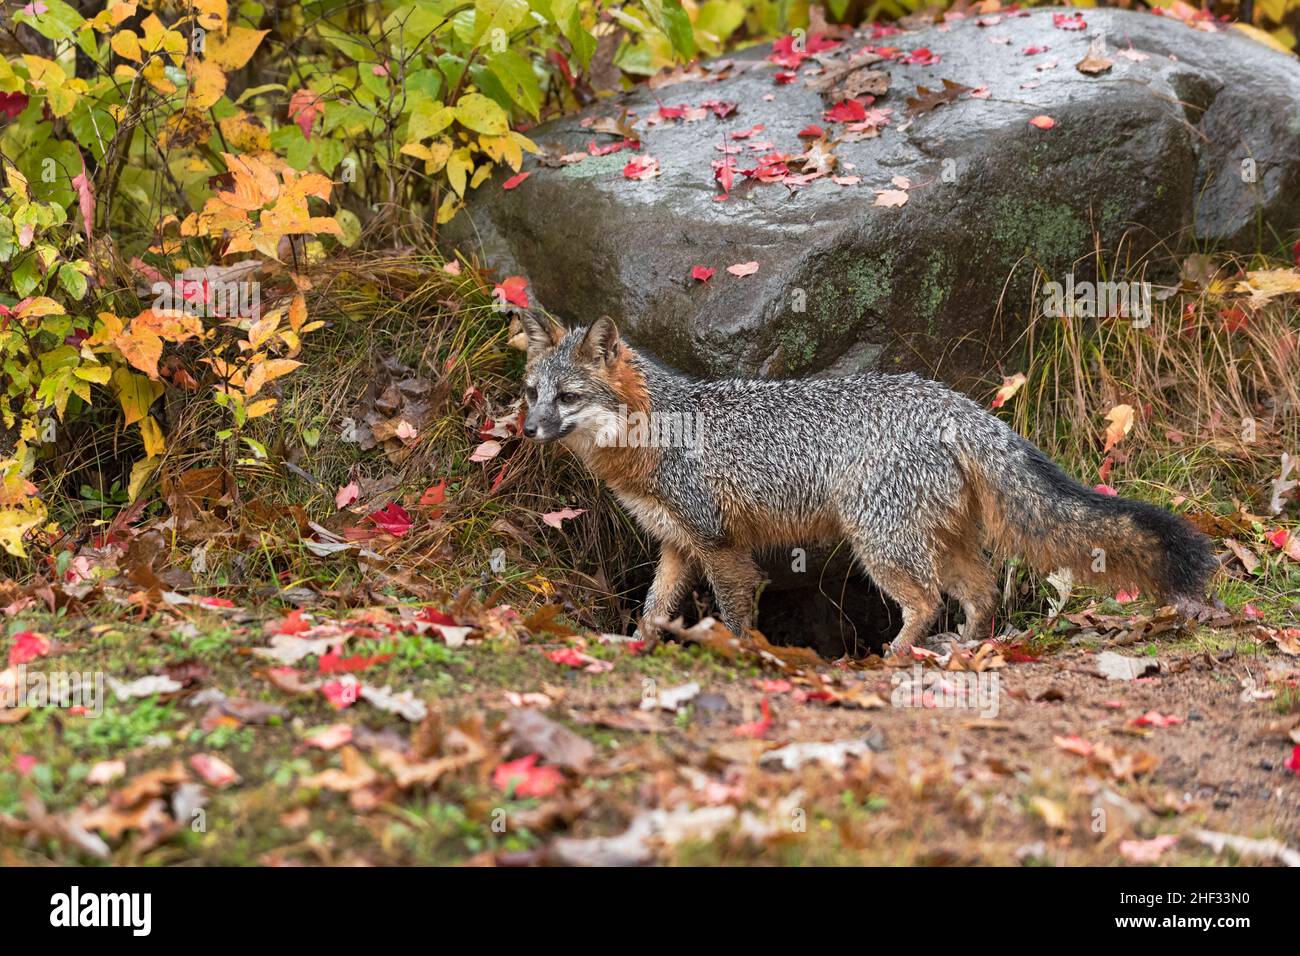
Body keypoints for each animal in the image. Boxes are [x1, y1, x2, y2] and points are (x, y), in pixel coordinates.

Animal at [518, 313, 1218, 655]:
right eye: (532, 393)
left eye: (568, 397)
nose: (526, 429)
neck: (657, 432)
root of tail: (950, 402)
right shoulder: (676, 546)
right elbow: (651, 610)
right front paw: (635, 648)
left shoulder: (720, 546)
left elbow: (738, 613)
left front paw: (740, 656)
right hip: (936, 542)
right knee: (982, 594)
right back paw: (964, 648)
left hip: (878, 544)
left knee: (928, 601)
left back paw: (901, 654)